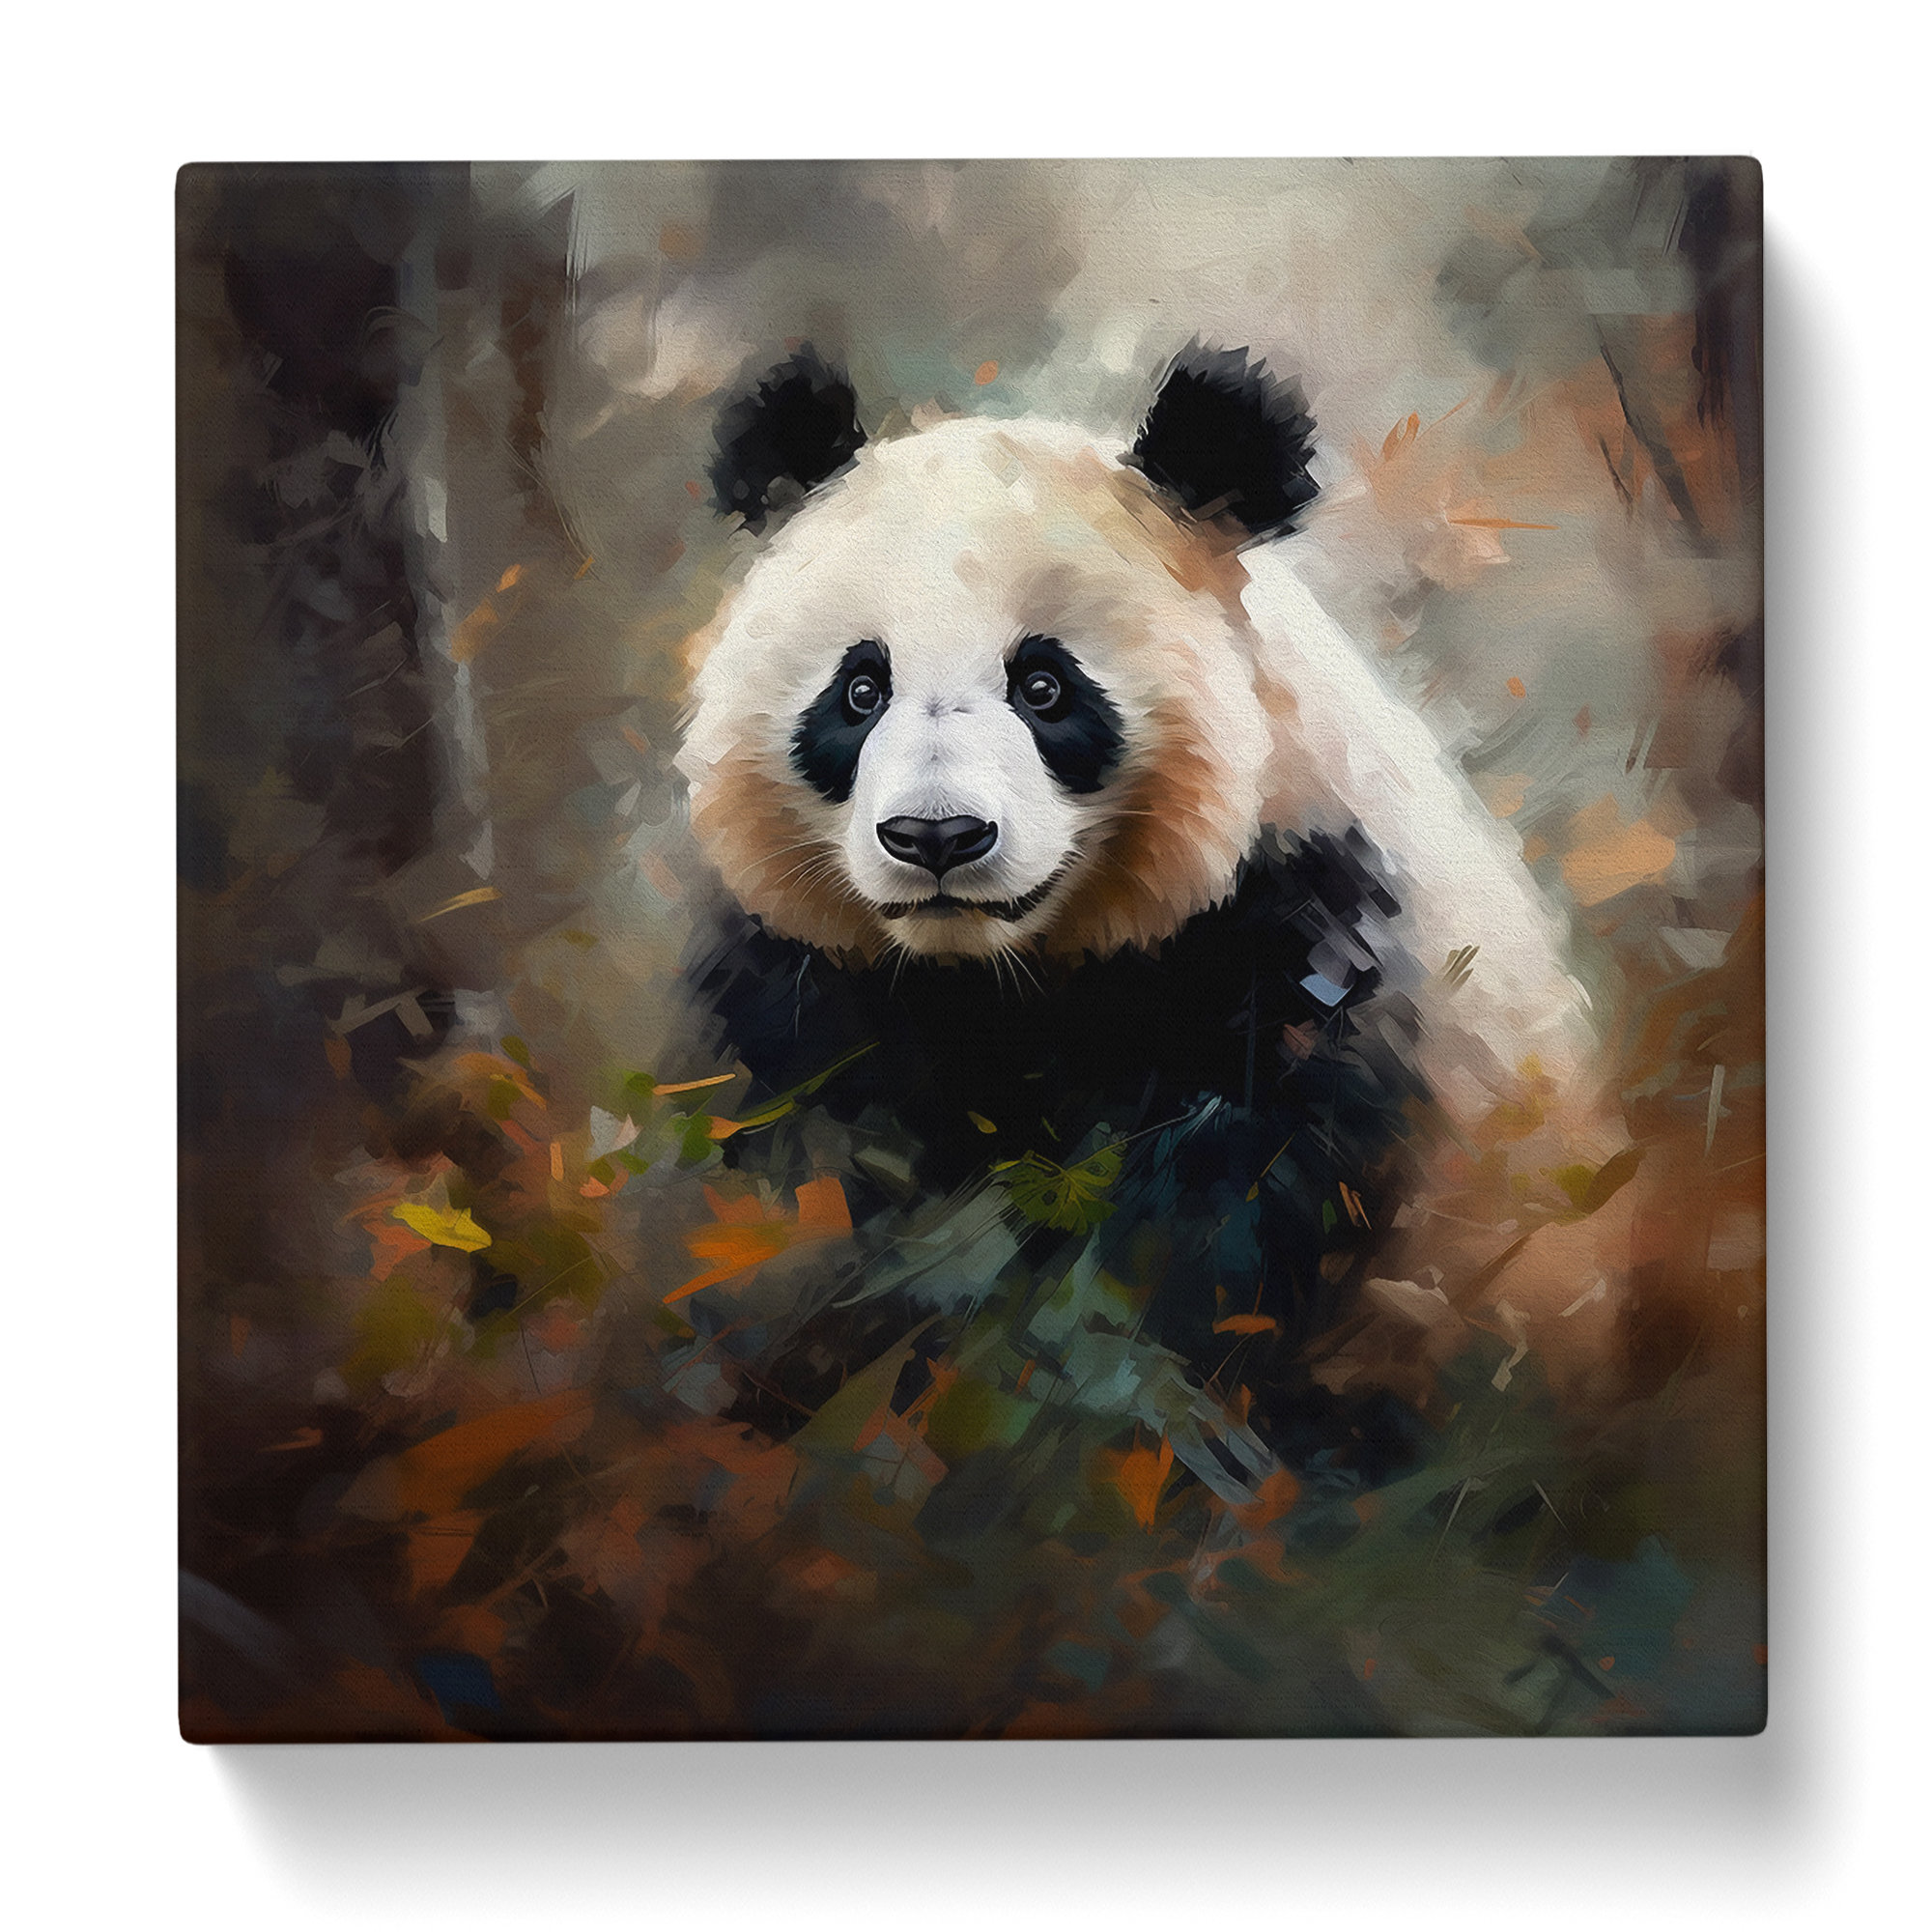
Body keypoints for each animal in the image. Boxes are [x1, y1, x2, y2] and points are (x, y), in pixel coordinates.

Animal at [674, 344, 1598, 1472]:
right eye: (859, 690)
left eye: (1043, 686)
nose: (936, 838)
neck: (1001, 975)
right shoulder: (811, 990)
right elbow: (813, 1174)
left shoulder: (1307, 948)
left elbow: (1223, 1223)